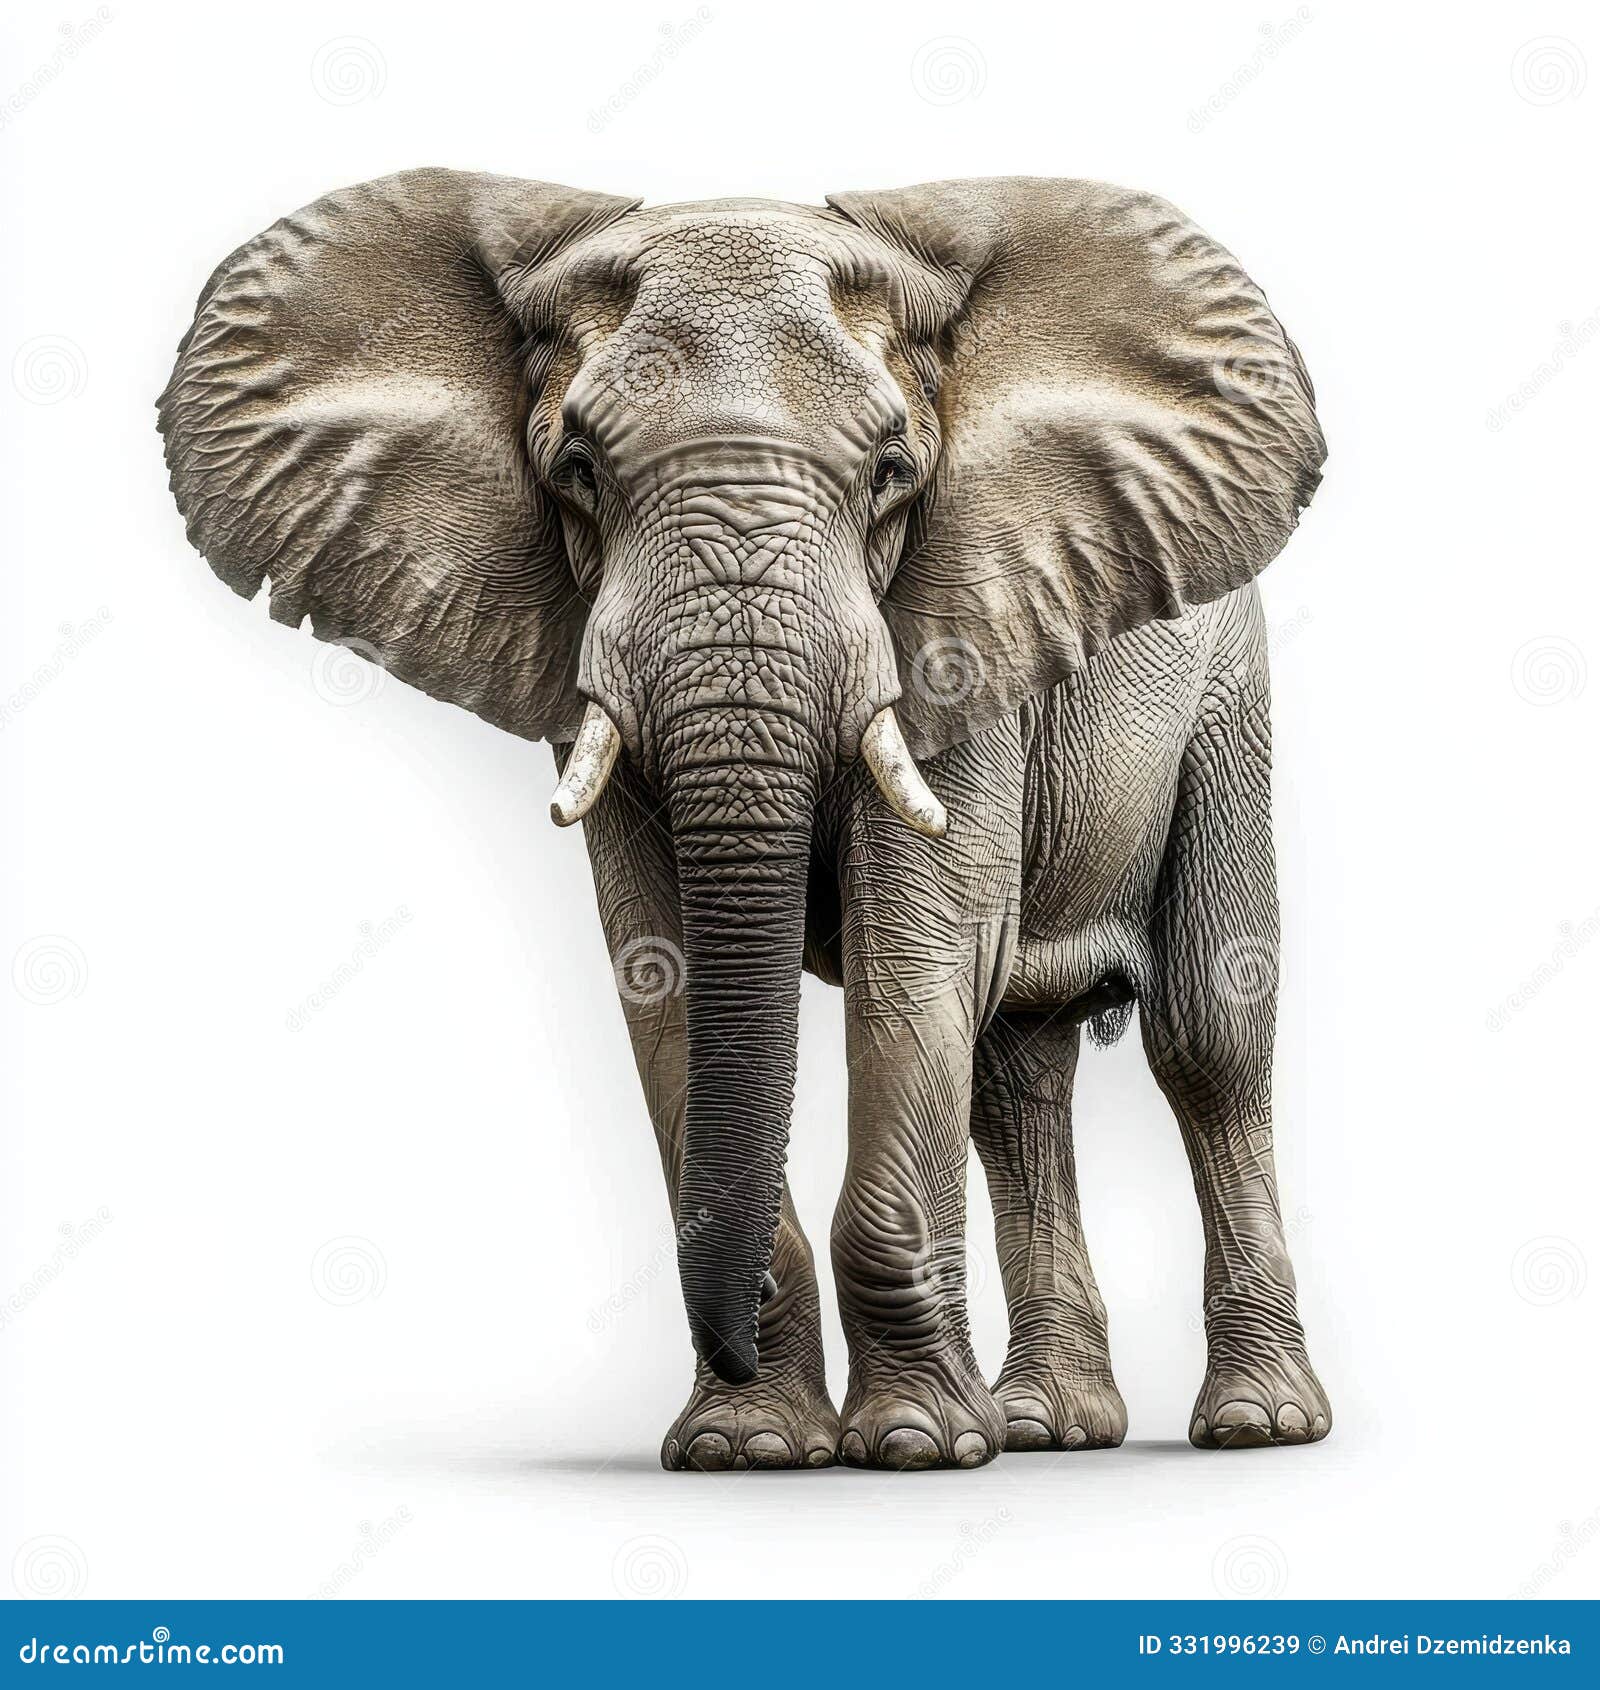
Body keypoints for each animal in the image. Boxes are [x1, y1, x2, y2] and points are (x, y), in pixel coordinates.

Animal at [158, 170, 1330, 1472]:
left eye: (892, 472)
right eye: (576, 470)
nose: (723, 1343)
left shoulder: (962, 628)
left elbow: (915, 953)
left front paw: (916, 1447)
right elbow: (659, 966)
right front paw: (753, 1448)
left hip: (1227, 699)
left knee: (1208, 1041)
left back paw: (1254, 1423)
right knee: (1012, 1078)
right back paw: (1043, 1427)